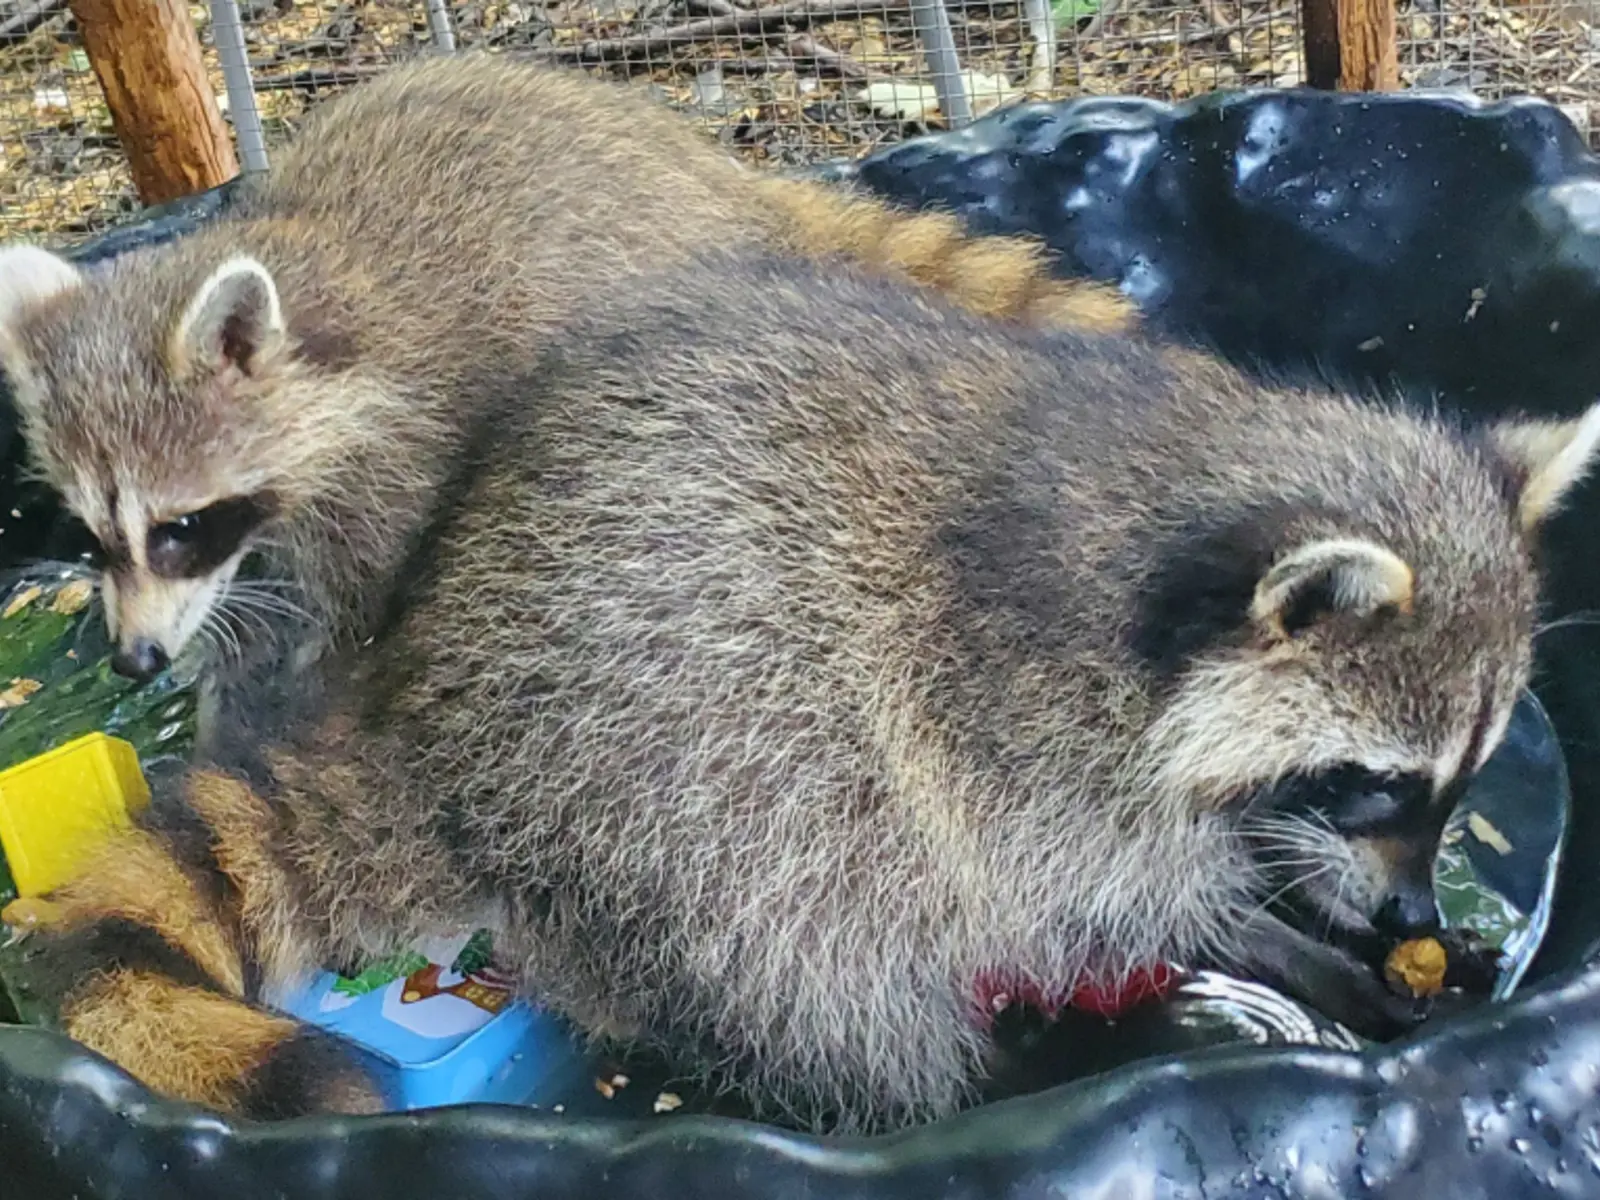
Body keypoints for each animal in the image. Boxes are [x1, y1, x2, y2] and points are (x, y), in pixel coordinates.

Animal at [0, 53, 1131, 756]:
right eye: (94, 537)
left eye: (177, 526)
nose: (132, 659)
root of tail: (723, 180)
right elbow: (247, 616)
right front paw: (212, 696)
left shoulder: (394, 465)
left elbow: (364, 629)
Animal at [6, 250, 1594, 1131]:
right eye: (1374, 782)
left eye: (1456, 784)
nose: (1407, 913)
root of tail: (424, 722)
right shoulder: (1009, 723)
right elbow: (1099, 895)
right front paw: (1281, 943)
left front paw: (1329, 919)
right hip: (672, 778)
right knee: (808, 940)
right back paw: (1014, 1076)